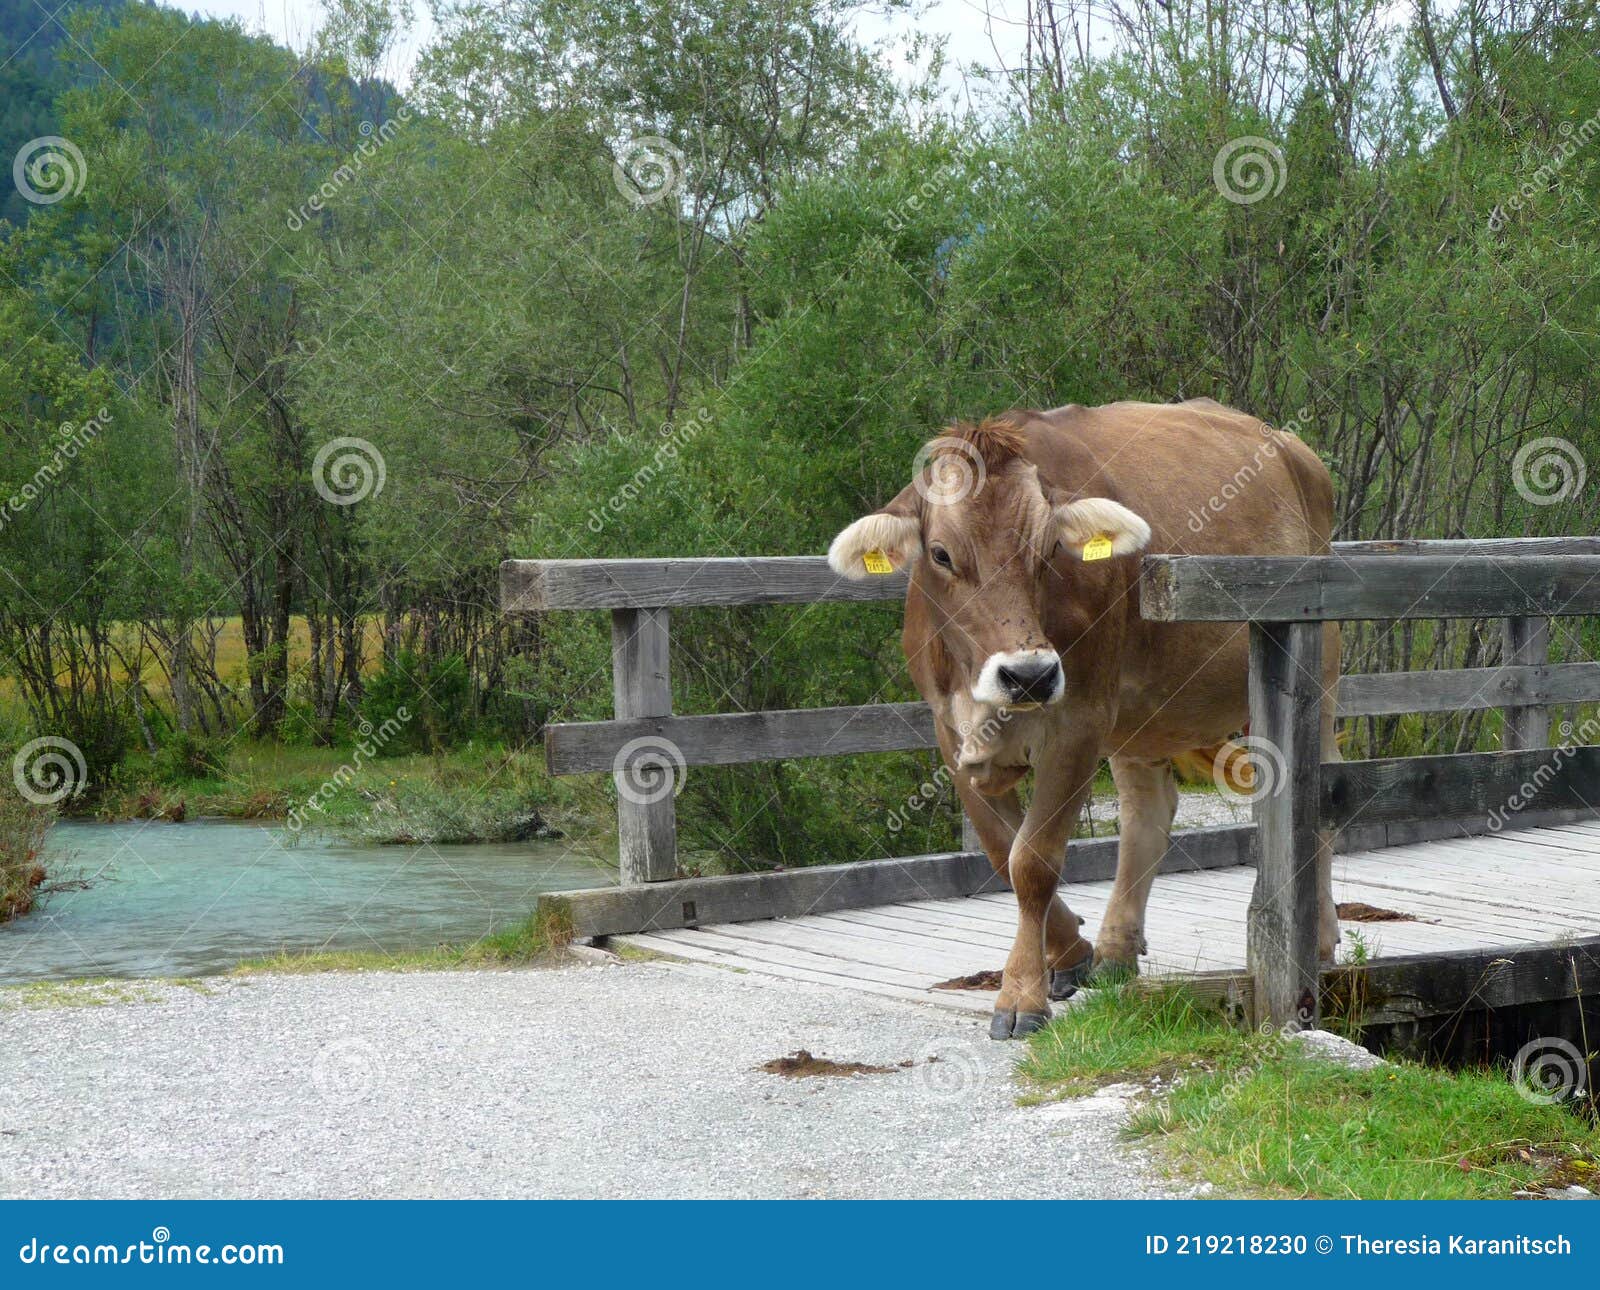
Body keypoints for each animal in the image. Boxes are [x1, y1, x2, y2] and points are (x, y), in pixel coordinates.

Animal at [826, 399, 1339, 1039]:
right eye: (941, 554)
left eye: (1048, 550)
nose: (1029, 675)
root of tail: (1296, 451)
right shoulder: (947, 730)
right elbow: (1001, 850)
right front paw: (1070, 954)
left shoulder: (1078, 723)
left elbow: (1034, 860)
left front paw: (1020, 995)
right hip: (1144, 714)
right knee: (1147, 814)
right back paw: (1117, 950)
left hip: (1320, 673)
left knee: (1322, 798)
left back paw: (1322, 942)